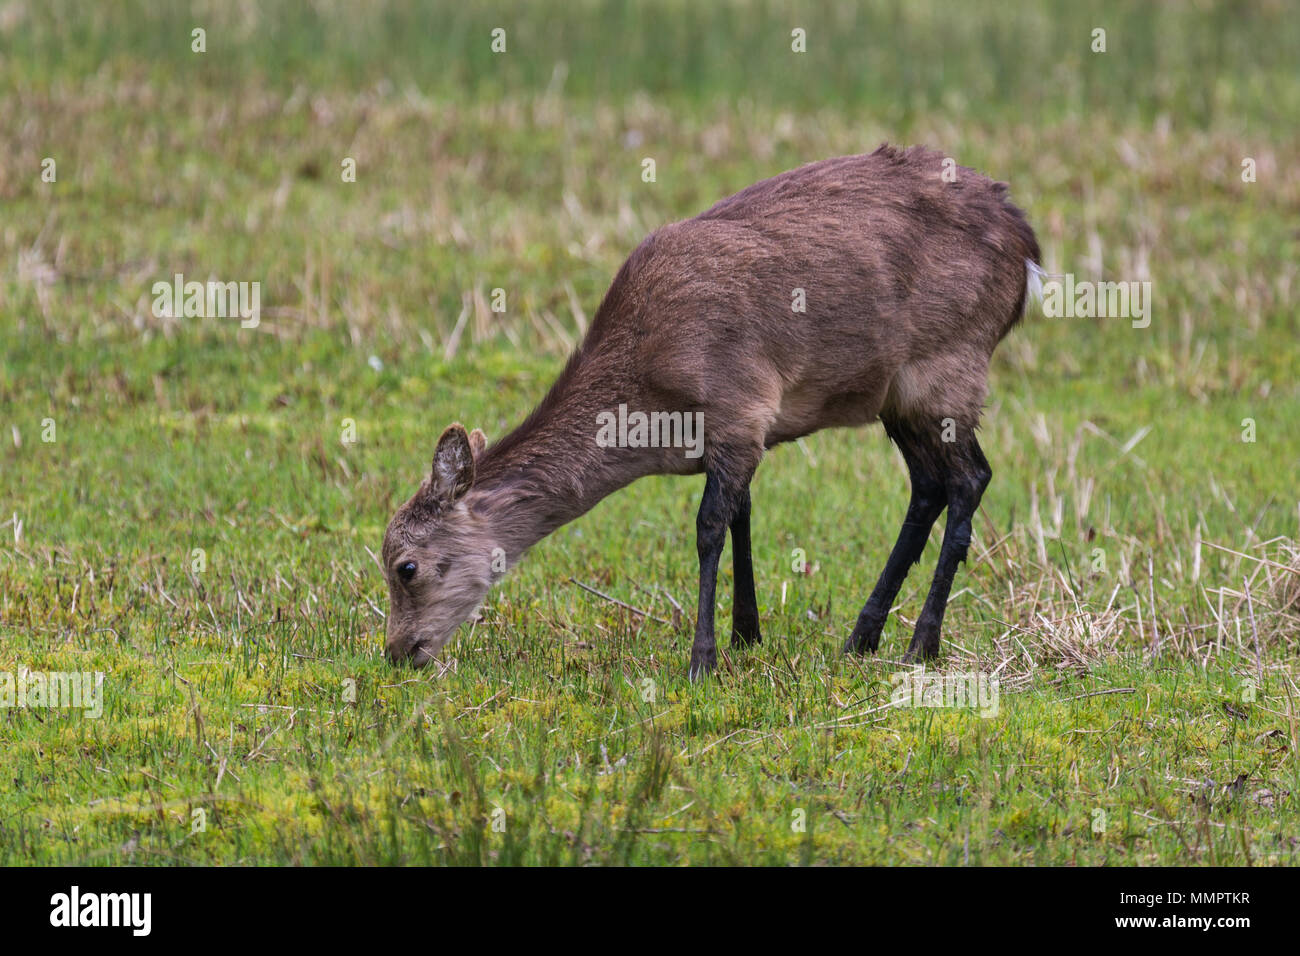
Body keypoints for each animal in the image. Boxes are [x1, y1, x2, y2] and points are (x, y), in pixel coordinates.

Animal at [382, 144, 1041, 678]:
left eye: (404, 566)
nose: (396, 652)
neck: (651, 407)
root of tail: (1027, 248)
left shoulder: (740, 404)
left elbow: (707, 529)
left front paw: (702, 660)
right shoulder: (738, 433)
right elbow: (743, 515)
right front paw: (746, 634)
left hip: (948, 363)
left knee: (971, 477)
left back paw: (921, 644)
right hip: (897, 397)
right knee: (928, 485)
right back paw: (862, 636)